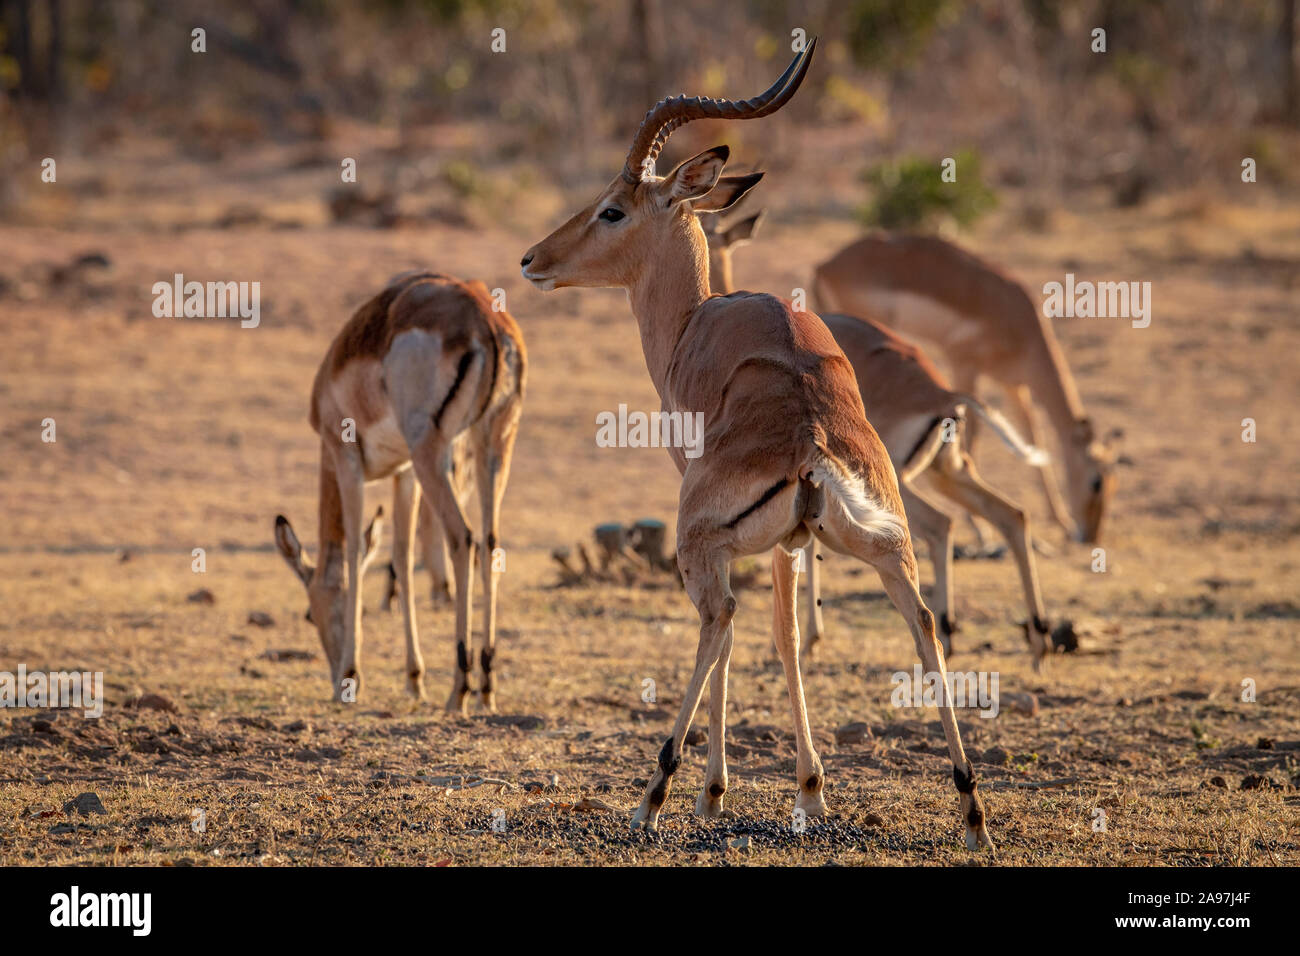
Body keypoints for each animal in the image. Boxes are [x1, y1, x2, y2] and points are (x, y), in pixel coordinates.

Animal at [274, 271, 525, 712]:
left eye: (309, 614)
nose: (334, 679)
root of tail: (484, 319)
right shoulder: (404, 474)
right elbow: (403, 560)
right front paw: (414, 679)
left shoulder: (346, 460)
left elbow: (355, 552)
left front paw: (351, 674)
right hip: (493, 443)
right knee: (491, 545)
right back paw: (487, 688)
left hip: (432, 452)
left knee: (463, 538)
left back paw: (459, 688)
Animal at [520, 41, 994, 850]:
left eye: (613, 207)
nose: (532, 259)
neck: (695, 321)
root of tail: (811, 440)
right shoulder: (794, 540)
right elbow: (790, 636)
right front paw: (810, 791)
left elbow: (744, 637)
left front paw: (716, 794)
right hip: (884, 541)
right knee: (923, 621)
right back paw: (970, 809)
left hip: (701, 544)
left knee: (720, 623)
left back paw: (654, 798)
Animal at [704, 210, 1055, 665]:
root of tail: (945, 395)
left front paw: (805, 638)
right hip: (947, 472)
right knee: (1012, 515)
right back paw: (1039, 637)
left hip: (897, 485)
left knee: (940, 526)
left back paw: (952, 631)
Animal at [813, 234, 1121, 545]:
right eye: (1096, 482)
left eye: (1111, 483)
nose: (1091, 536)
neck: (1017, 317)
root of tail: (826, 264)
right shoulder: (966, 365)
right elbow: (983, 433)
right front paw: (983, 531)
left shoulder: (1010, 383)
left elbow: (1031, 436)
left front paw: (1060, 523)